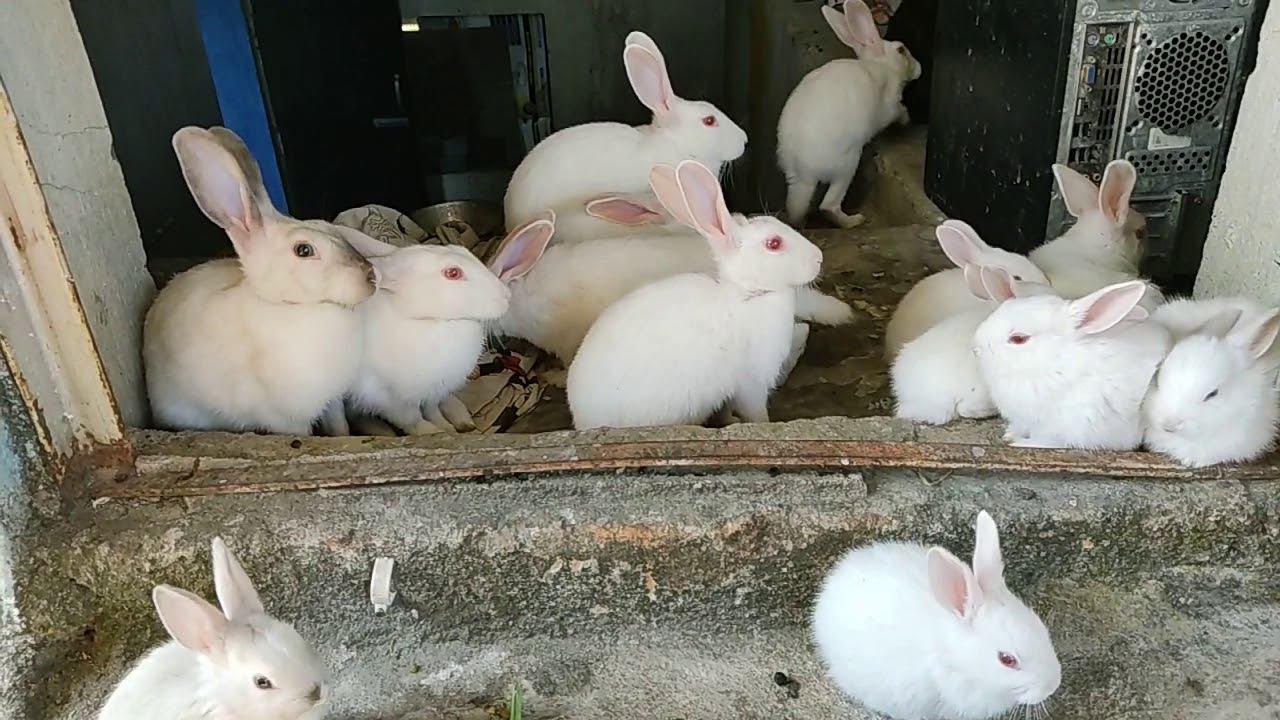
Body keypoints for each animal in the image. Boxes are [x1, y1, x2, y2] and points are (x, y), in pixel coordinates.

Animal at [143, 126, 377, 435]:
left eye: (331, 229)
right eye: (304, 250)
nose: (370, 276)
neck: (288, 305)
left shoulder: (332, 401)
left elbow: (339, 425)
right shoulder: (286, 420)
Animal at [329, 223, 527, 437]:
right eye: (453, 273)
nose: (507, 296)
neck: (428, 321)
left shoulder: (432, 393)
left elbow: (432, 410)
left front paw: (445, 427)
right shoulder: (388, 398)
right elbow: (412, 419)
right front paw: (433, 432)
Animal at [566, 160, 823, 430]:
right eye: (774, 243)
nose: (818, 258)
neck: (747, 295)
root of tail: (582, 420)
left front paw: (728, 421)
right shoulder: (751, 385)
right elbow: (755, 412)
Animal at [776, 0, 921, 229]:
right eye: (901, 49)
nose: (920, 68)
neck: (881, 65)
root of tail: (804, 175)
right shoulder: (890, 106)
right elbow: (899, 111)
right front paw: (907, 119)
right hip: (848, 165)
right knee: (829, 206)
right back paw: (854, 221)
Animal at [973, 279, 1170, 450]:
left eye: (1018, 338)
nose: (976, 348)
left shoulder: (1066, 429)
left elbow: (1046, 442)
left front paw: (1020, 443)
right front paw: (1010, 434)